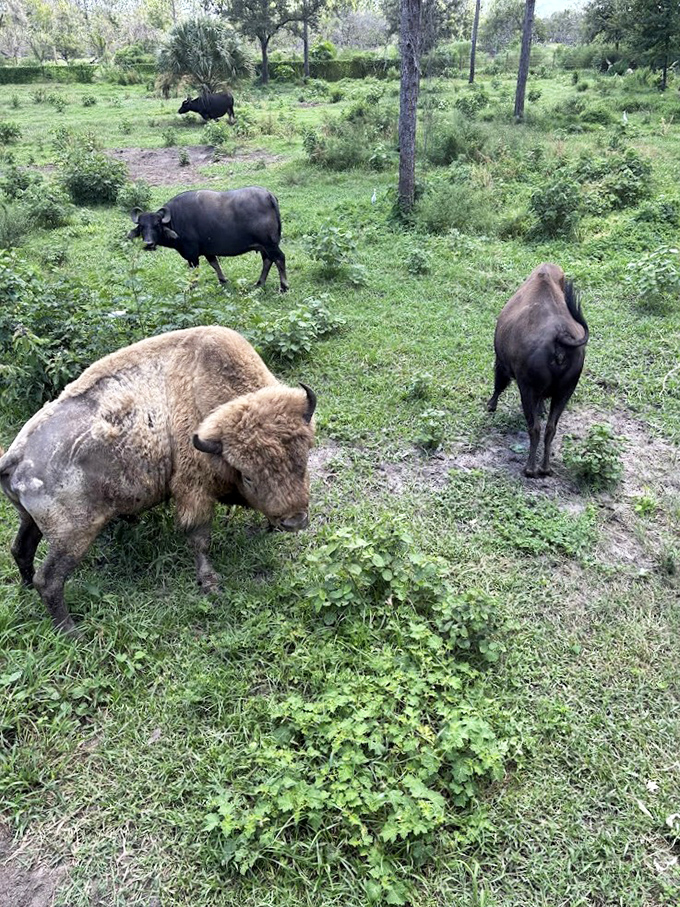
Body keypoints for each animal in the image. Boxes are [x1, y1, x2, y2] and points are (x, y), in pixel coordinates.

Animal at [0, 327, 316, 634]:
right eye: (247, 476)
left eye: (303, 460)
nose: (294, 521)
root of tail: (17, 454)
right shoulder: (194, 492)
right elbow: (200, 539)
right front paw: (210, 583)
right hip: (73, 535)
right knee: (49, 580)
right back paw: (71, 631)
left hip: (30, 520)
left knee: (21, 550)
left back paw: (26, 589)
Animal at [128, 187, 289, 291]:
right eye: (141, 227)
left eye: (157, 225)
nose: (148, 243)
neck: (174, 220)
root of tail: (269, 195)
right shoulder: (207, 251)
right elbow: (214, 264)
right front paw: (223, 280)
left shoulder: (192, 254)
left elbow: (195, 271)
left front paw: (192, 286)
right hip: (263, 246)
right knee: (268, 261)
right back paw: (259, 283)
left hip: (269, 244)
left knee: (279, 258)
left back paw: (284, 287)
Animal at [487, 263, 589, 477]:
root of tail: (560, 337)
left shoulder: (501, 364)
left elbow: (499, 385)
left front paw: (490, 406)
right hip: (565, 392)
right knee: (550, 428)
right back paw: (545, 468)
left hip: (528, 390)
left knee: (535, 428)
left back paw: (529, 468)